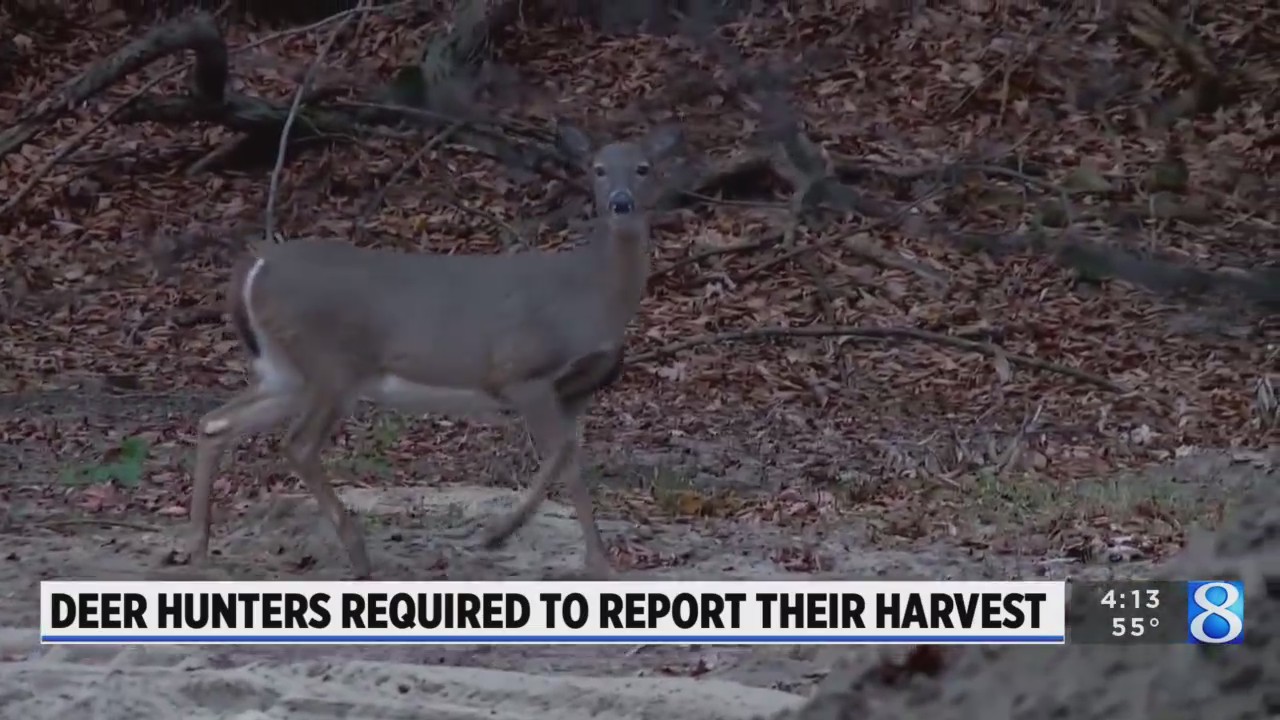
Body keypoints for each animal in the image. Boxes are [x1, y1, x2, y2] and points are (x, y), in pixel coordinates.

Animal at [174, 121, 682, 580]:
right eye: (597, 169)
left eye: (643, 167)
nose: (621, 203)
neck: (587, 295)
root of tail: (256, 266)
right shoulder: (521, 372)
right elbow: (563, 460)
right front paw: (511, 537)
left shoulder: (575, 390)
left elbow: (571, 460)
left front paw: (580, 556)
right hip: (332, 364)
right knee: (296, 444)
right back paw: (358, 555)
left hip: (287, 371)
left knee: (216, 423)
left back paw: (198, 549)